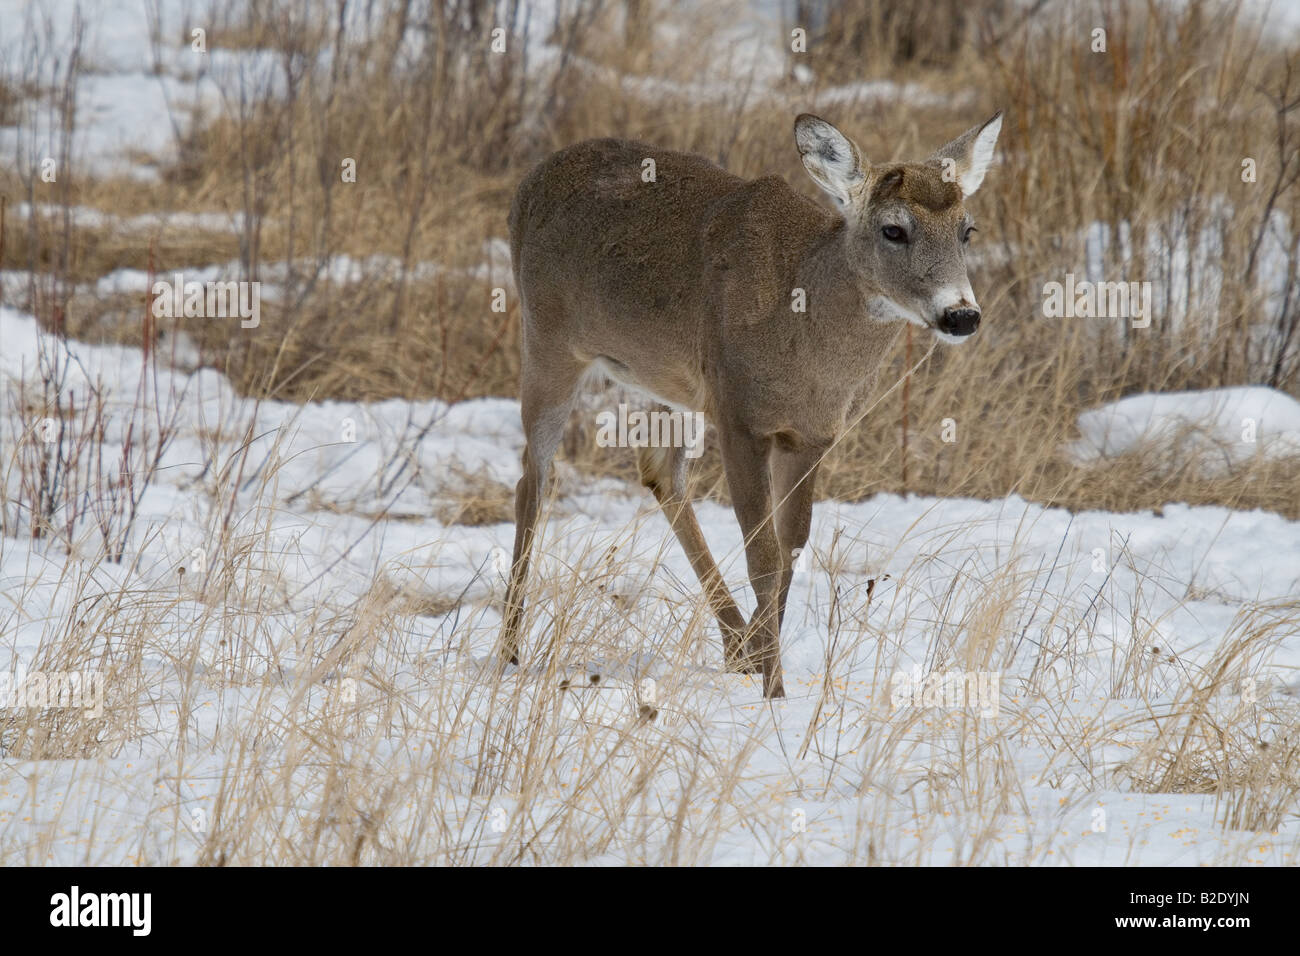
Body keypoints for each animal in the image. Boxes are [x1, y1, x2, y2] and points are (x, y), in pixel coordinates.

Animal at [495, 111, 1003, 699]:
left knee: (658, 470)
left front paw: (763, 665)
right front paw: (774, 691)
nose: (961, 315)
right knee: (533, 480)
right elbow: (762, 558)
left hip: (668, 384)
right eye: (893, 230)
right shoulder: (739, 417)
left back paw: (736, 645)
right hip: (549, 340)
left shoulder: (811, 435)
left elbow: (790, 550)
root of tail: (528, 182)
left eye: (967, 230)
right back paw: (509, 652)